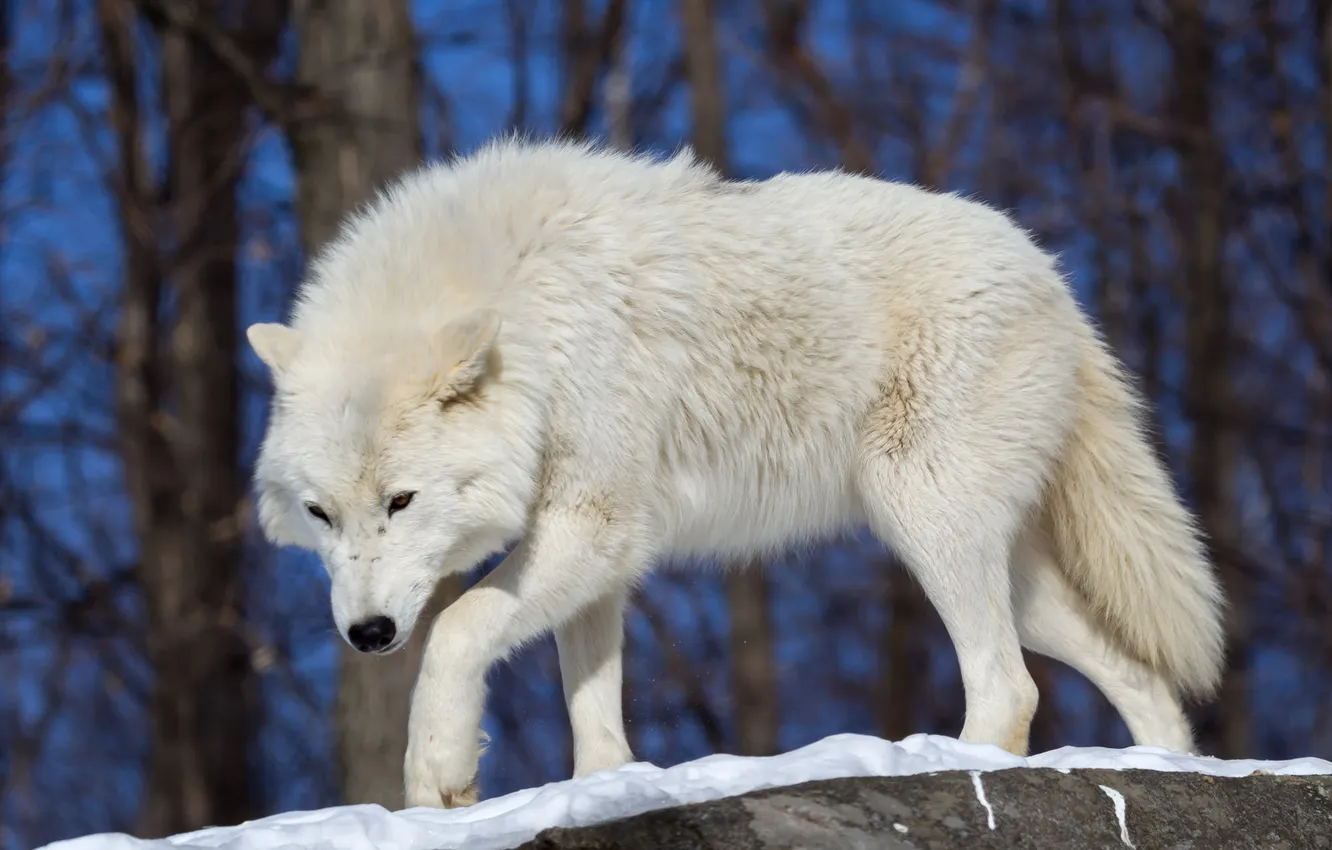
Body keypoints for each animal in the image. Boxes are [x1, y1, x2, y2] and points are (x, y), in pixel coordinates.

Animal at [246, 137, 1225, 809]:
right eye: (321, 515)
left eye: (401, 501)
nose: (367, 634)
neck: (526, 316)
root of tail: (1052, 276)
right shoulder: (601, 555)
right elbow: (592, 711)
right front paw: (601, 793)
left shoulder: (594, 526)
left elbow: (458, 629)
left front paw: (438, 777)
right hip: (1007, 574)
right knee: (1136, 670)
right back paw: (1167, 766)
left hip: (928, 524)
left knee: (1010, 687)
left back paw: (964, 765)